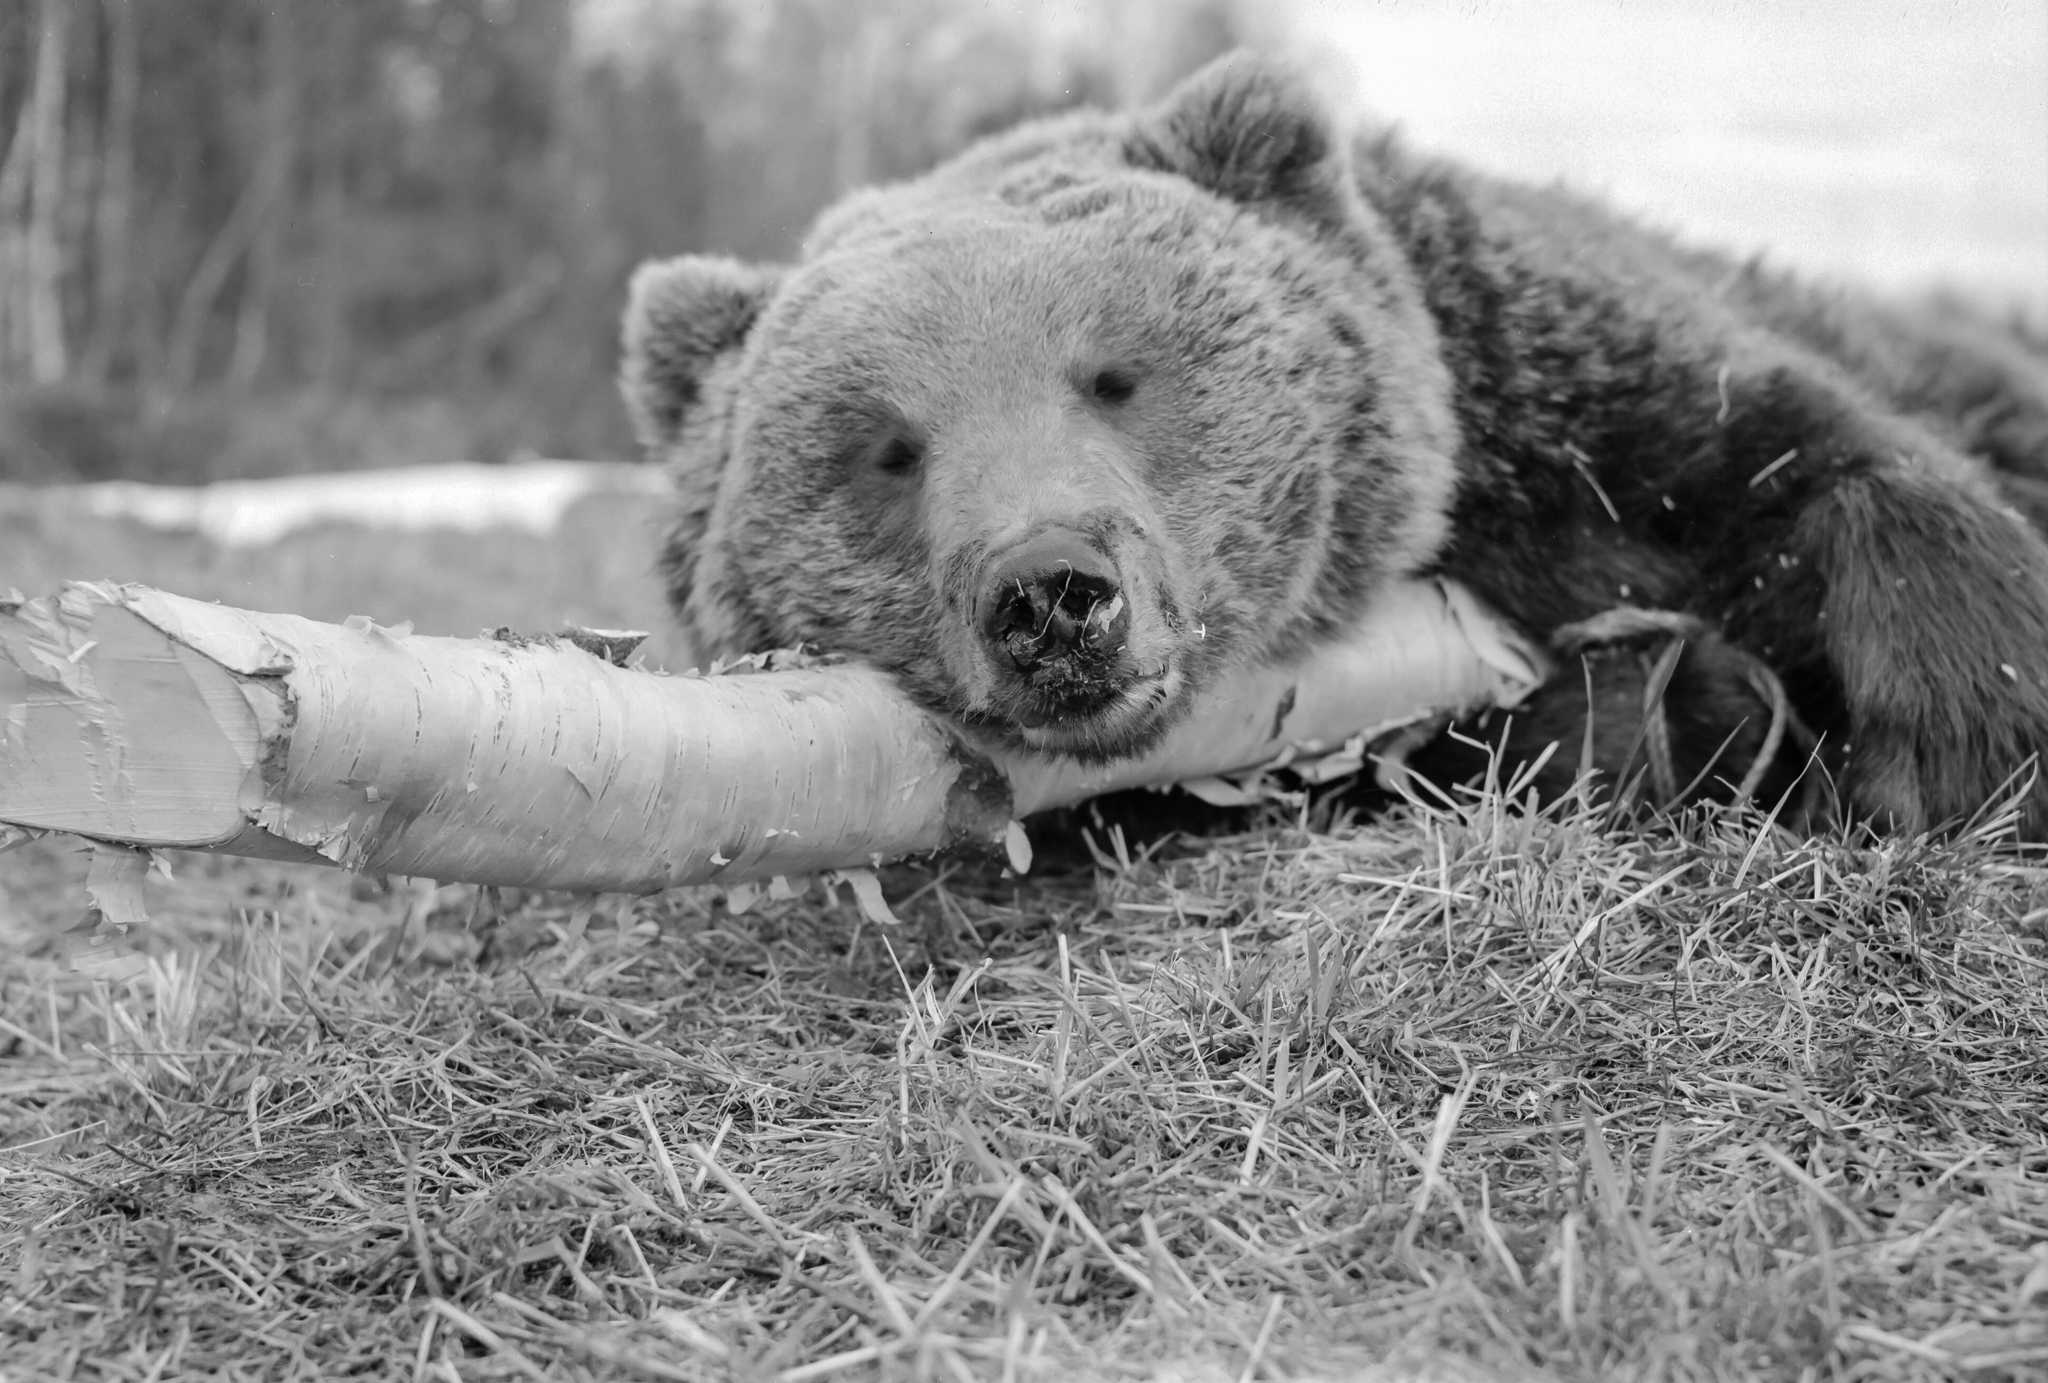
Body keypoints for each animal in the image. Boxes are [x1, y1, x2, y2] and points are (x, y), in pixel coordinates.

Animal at [619, 52, 2048, 838]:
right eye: (888, 447)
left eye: (1112, 374)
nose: (1051, 592)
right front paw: (1675, 710)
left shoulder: (1580, 402)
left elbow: (1805, 455)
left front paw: (1945, 744)